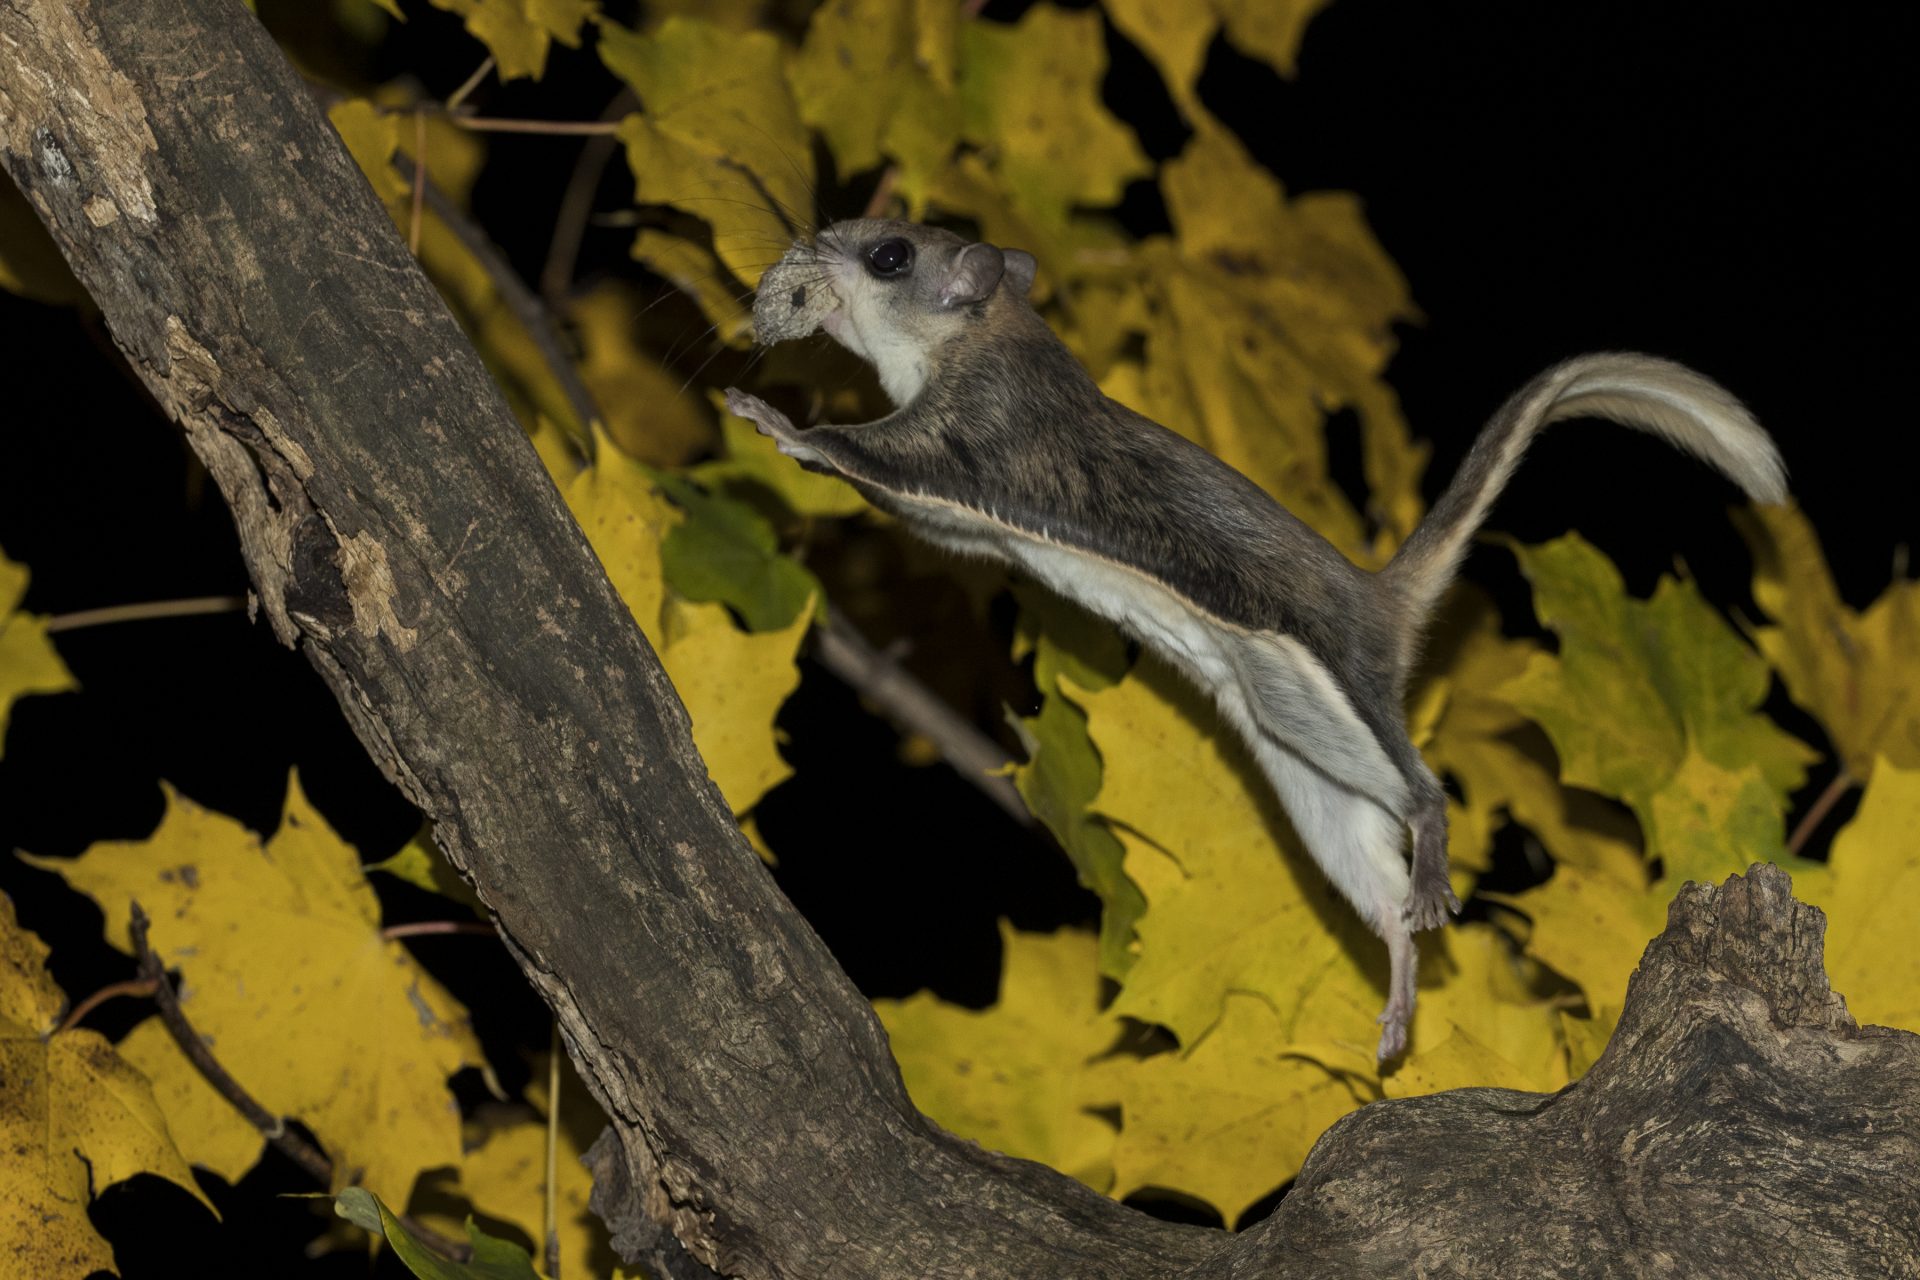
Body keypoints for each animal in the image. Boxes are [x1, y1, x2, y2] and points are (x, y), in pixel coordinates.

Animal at [726, 218, 1786, 1060]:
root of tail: (1381, 601)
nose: (811, 242)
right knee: (1379, 887)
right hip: (1300, 751)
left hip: (1334, 687)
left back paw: (1432, 864)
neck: (986, 332)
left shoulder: (971, 436)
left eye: (889, 253)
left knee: (1424, 791)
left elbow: (871, 453)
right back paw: (1398, 996)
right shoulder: (963, 521)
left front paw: (775, 419)